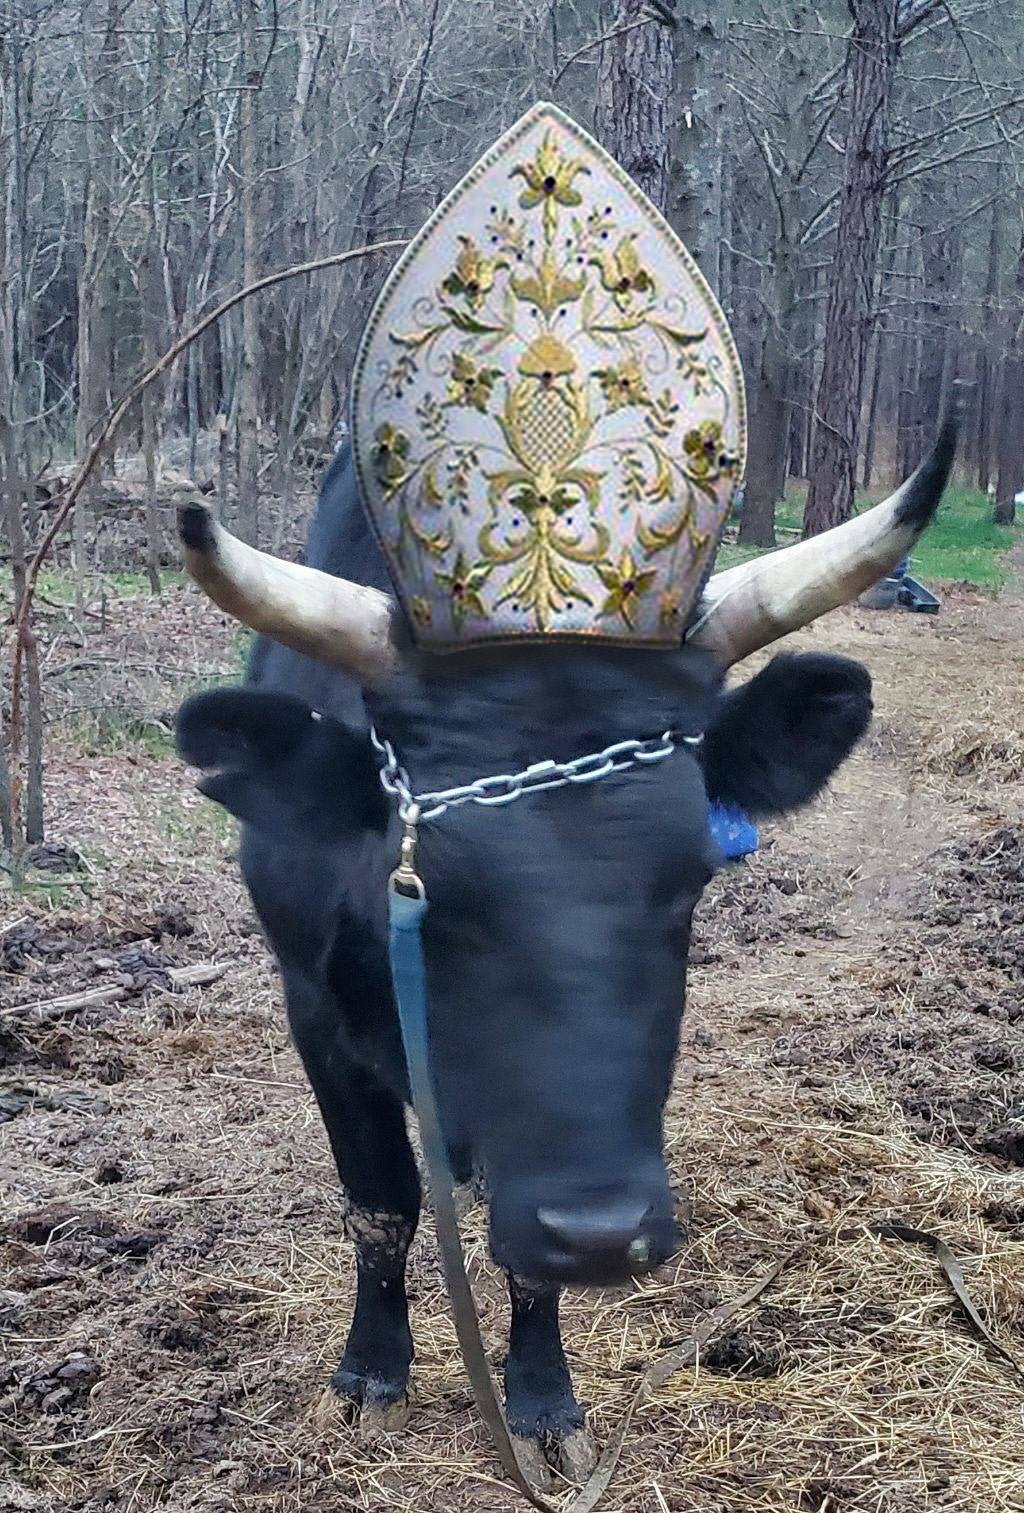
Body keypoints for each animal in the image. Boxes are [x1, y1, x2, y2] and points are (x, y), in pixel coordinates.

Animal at [175, 419, 954, 1483]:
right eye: (427, 886)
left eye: (693, 876)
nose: (600, 1233)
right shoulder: (314, 1010)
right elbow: (380, 1203)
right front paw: (370, 1372)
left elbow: (520, 1246)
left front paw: (542, 1398)